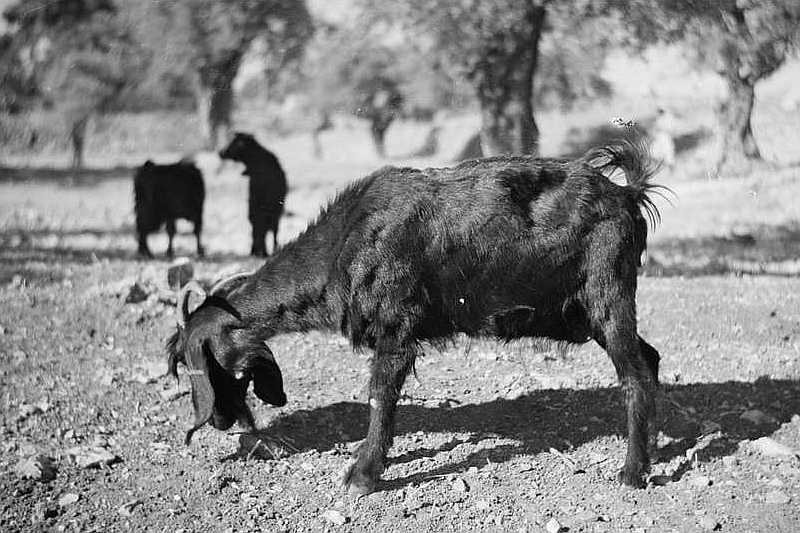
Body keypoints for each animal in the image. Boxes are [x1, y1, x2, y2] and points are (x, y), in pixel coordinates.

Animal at [167, 143, 663, 495]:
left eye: (198, 364)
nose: (218, 422)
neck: (347, 241)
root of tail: (628, 194)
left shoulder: (397, 331)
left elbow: (379, 397)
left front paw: (363, 475)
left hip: (609, 300)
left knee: (635, 376)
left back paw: (632, 471)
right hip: (592, 318)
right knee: (651, 359)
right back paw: (654, 446)